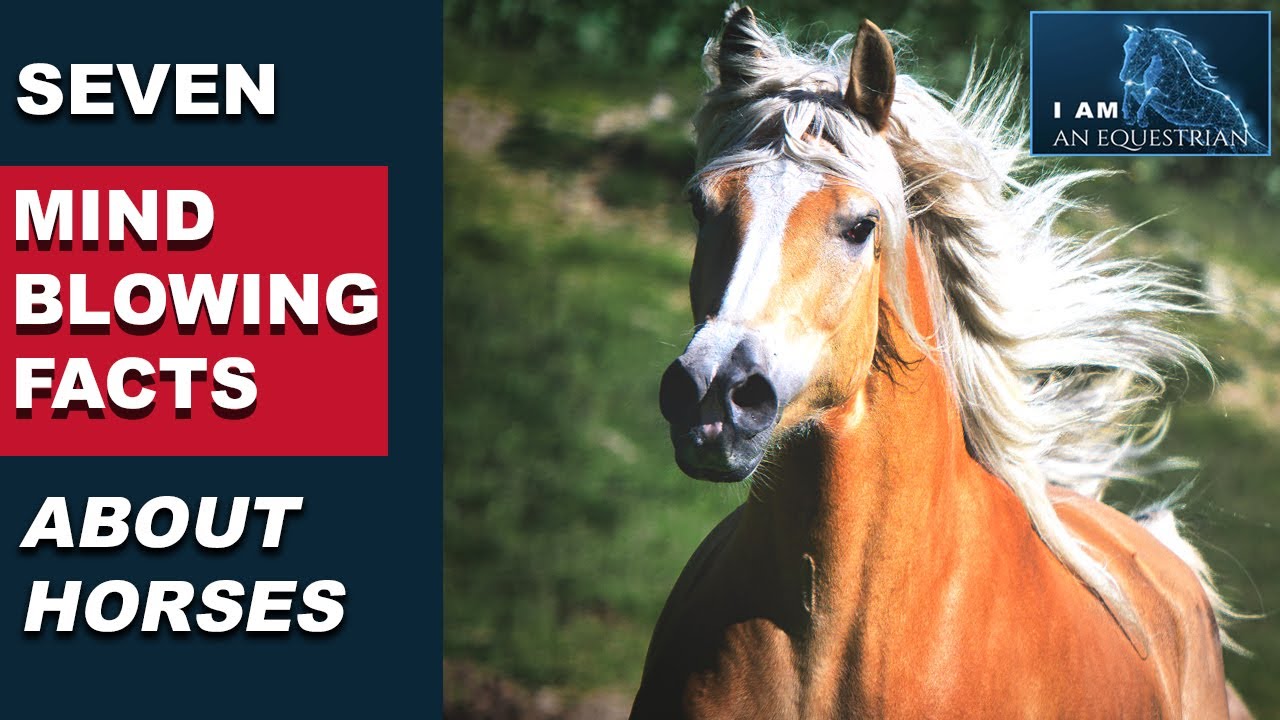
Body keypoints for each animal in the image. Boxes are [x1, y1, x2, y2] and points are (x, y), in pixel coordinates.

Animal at [1119, 24, 1260, 152]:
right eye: (1125, 47)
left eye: (1140, 49)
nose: (1123, 76)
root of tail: (1238, 114)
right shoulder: (1147, 95)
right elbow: (1130, 87)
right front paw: (1129, 117)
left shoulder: (1172, 103)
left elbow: (1152, 92)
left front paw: (1142, 120)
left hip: (1231, 135)